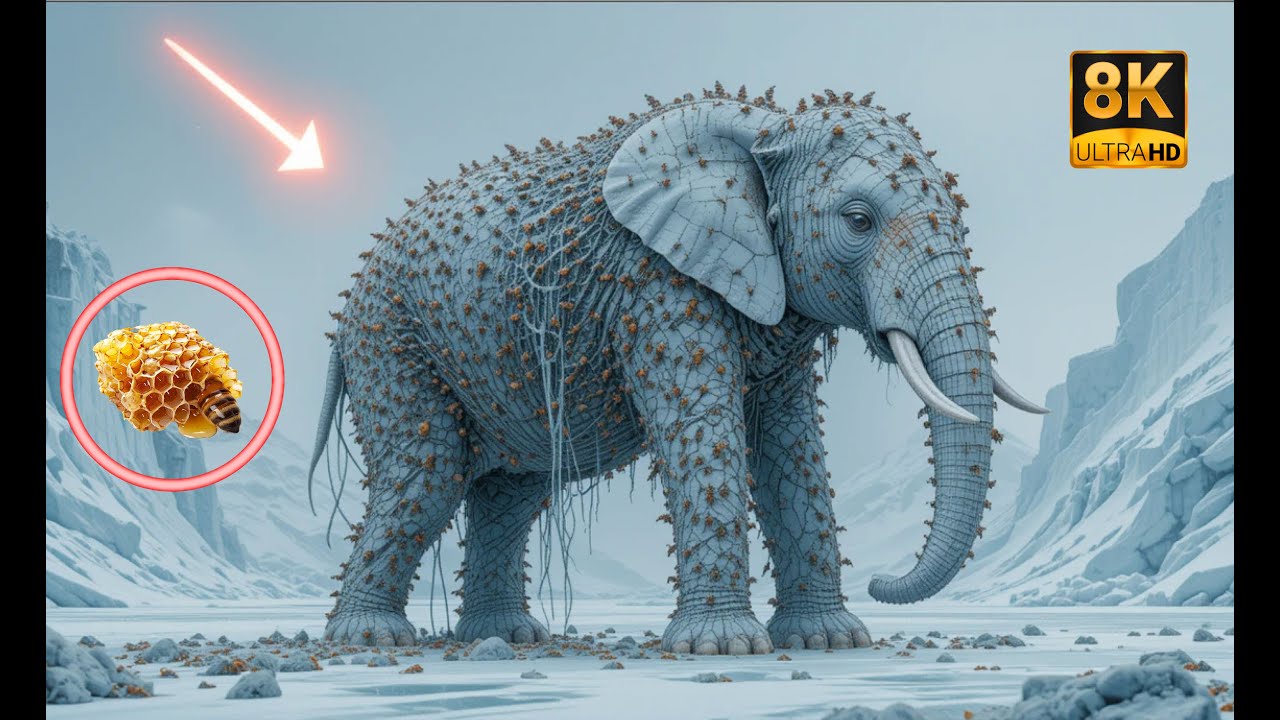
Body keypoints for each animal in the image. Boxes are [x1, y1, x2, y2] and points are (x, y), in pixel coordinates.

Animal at [308, 84, 1047, 655]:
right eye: (859, 220)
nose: (882, 581)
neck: (768, 128)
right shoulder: (658, 279)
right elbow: (702, 430)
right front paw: (725, 648)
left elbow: (788, 449)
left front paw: (830, 640)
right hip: (391, 341)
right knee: (427, 468)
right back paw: (370, 640)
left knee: (512, 493)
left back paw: (507, 637)